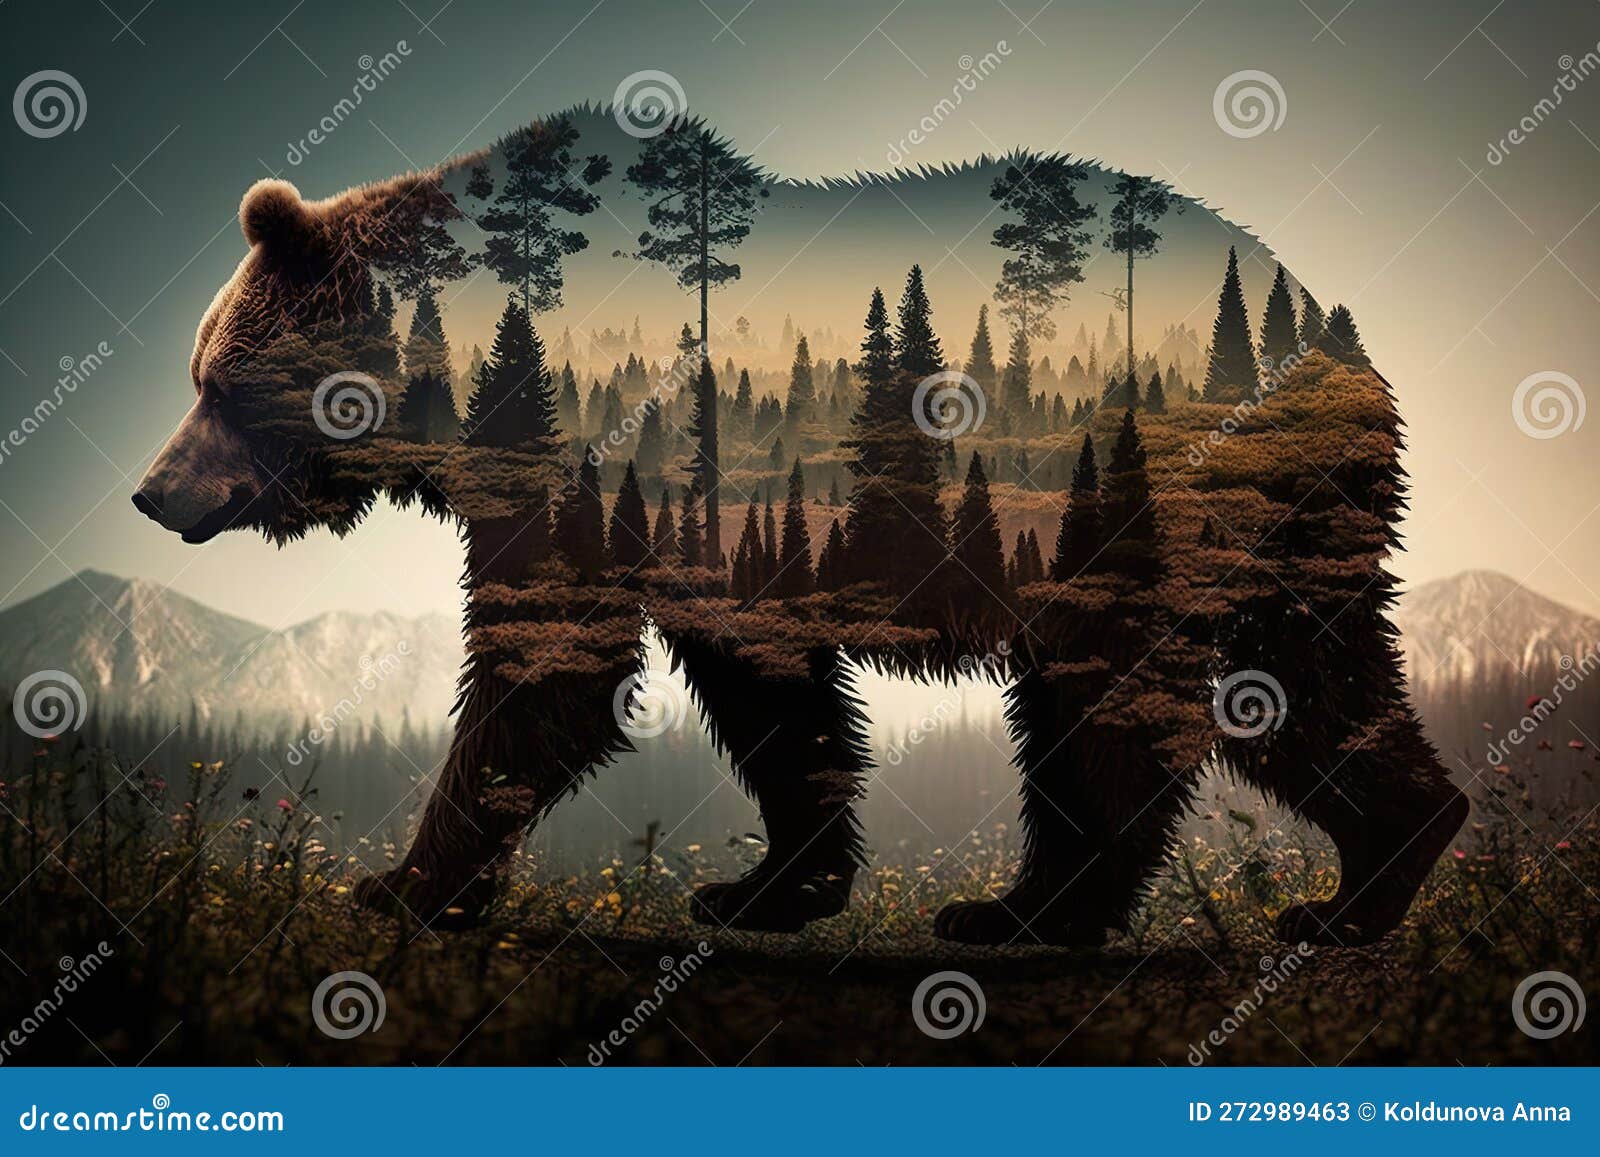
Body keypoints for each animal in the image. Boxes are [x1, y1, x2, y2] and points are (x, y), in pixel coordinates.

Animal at [132, 108, 1467, 948]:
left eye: (214, 381)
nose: (152, 492)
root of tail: (1334, 336)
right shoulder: (714, 537)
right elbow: (772, 701)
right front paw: (767, 882)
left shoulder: (587, 463)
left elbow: (546, 670)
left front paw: (402, 880)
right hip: (1286, 523)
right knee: (1309, 672)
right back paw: (1369, 874)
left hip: (1145, 496)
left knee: (1125, 704)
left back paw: (1037, 908)